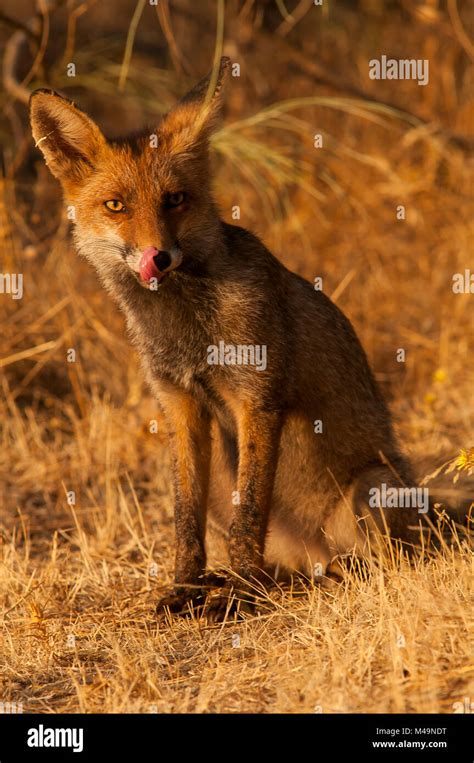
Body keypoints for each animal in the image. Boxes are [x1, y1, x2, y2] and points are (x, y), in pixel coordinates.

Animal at [29, 57, 441, 620]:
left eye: (175, 200)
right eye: (116, 205)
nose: (158, 257)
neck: (188, 329)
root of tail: (314, 554)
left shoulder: (257, 400)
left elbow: (250, 514)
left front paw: (242, 594)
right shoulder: (182, 407)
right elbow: (185, 520)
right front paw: (186, 586)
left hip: (374, 489)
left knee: (375, 562)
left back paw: (307, 577)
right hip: (236, 488)